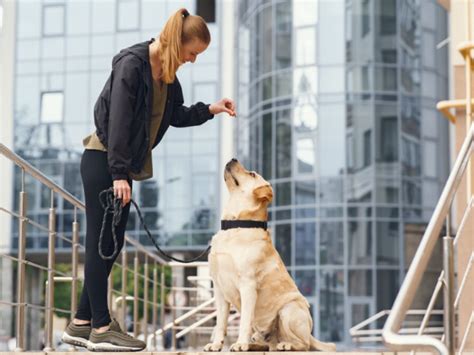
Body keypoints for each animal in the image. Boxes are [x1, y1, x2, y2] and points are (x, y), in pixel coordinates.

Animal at [205, 161, 336, 354]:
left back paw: (286, 345)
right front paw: (216, 345)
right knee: (269, 344)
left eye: (252, 174)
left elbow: (244, 320)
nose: (233, 159)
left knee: (303, 344)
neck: (235, 225)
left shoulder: (248, 285)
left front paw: (240, 344)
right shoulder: (219, 289)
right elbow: (221, 322)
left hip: (289, 310)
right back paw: (254, 345)